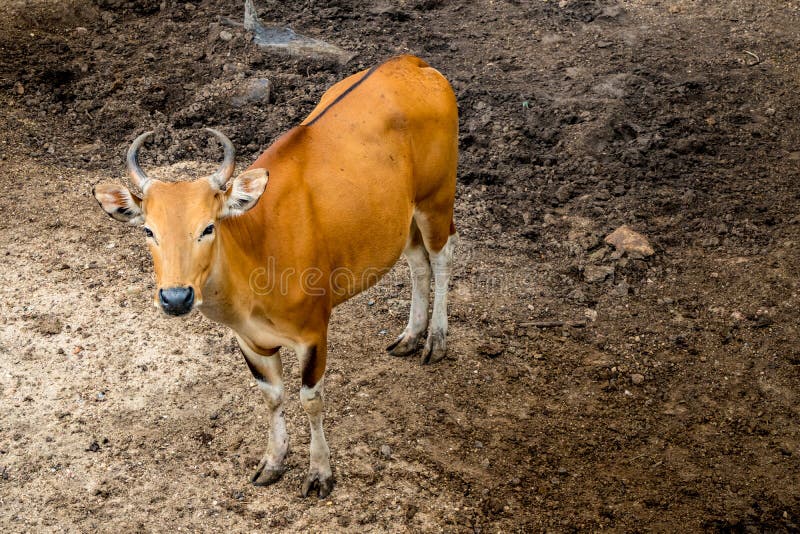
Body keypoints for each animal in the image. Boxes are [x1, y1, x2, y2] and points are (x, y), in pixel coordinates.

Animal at [92, 55, 458, 498]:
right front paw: (273, 460)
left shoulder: (314, 332)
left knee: (441, 257)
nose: (176, 298)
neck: (257, 262)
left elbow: (310, 399)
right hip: (401, 218)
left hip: (436, 198)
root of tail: (410, 62)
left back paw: (436, 340)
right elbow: (272, 397)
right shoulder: (250, 341)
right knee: (418, 263)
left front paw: (320, 472)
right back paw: (410, 335)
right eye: (149, 230)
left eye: (208, 227)